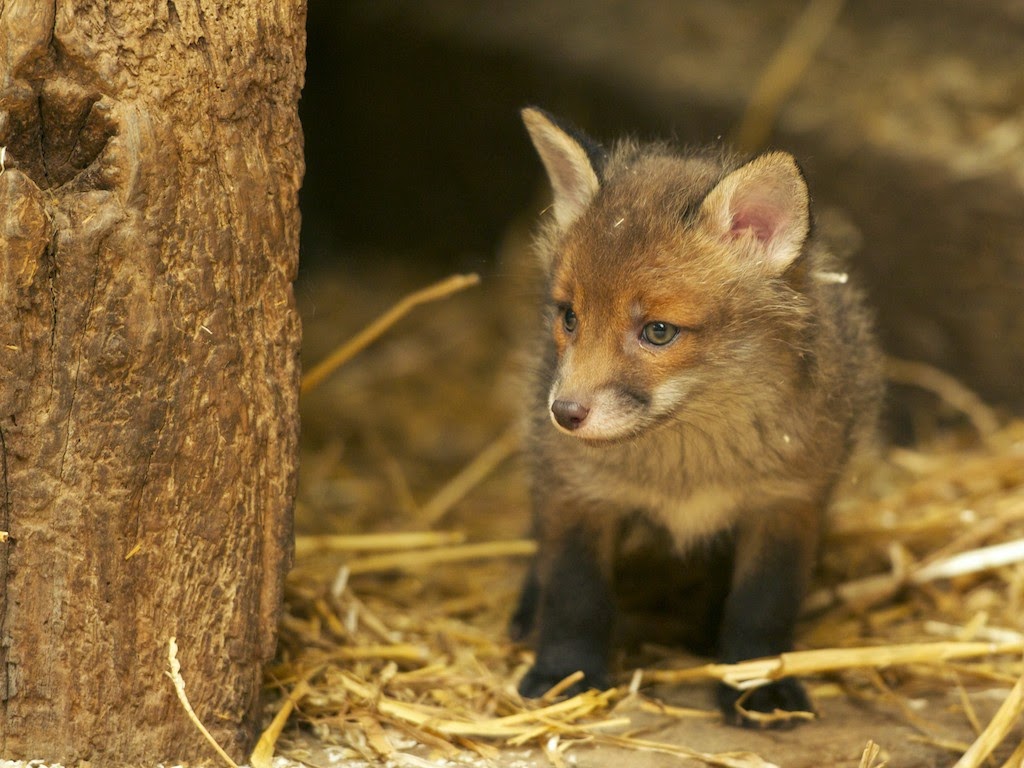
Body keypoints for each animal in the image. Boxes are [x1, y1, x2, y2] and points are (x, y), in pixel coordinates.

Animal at [509, 107, 884, 727]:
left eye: (658, 331)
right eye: (569, 317)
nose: (563, 413)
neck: (690, 461)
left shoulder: (787, 503)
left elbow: (761, 608)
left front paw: (755, 685)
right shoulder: (577, 493)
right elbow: (573, 595)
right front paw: (567, 675)